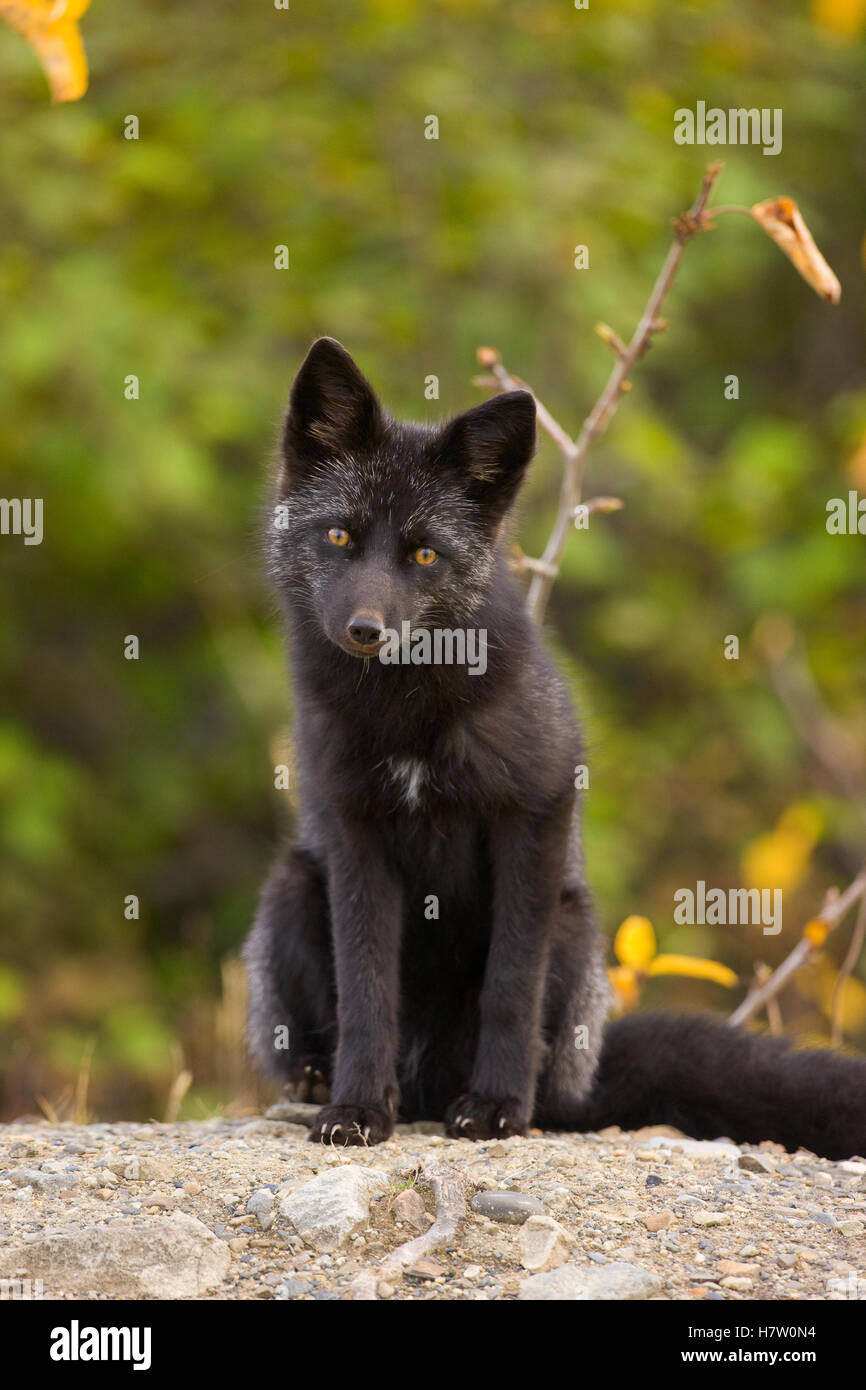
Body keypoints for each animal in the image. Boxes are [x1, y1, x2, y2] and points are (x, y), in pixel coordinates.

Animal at [244, 336, 866, 1159]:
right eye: (339, 535)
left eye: (425, 556)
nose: (366, 630)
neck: (409, 716)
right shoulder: (353, 832)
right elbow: (366, 992)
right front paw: (357, 1109)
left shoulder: (535, 814)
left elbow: (510, 986)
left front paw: (498, 1108)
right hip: (291, 887)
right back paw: (323, 1082)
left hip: (573, 930)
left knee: (553, 1073)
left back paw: (518, 1098)